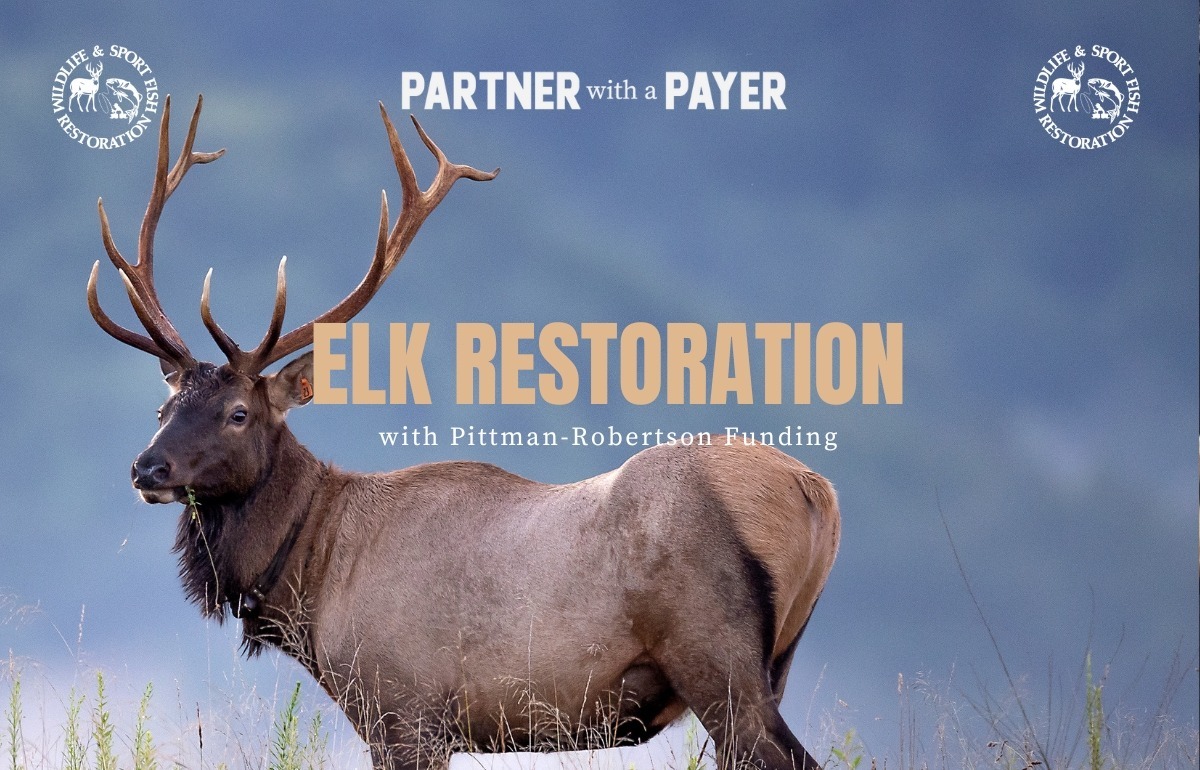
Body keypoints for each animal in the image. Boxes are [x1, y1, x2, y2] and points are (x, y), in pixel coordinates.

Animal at [86, 94, 841, 770]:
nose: (147, 469)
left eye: (238, 412)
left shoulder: (404, 711)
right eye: (163, 409)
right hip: (774, 663)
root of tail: (817, 493)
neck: (313, 578)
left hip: (716, 655)